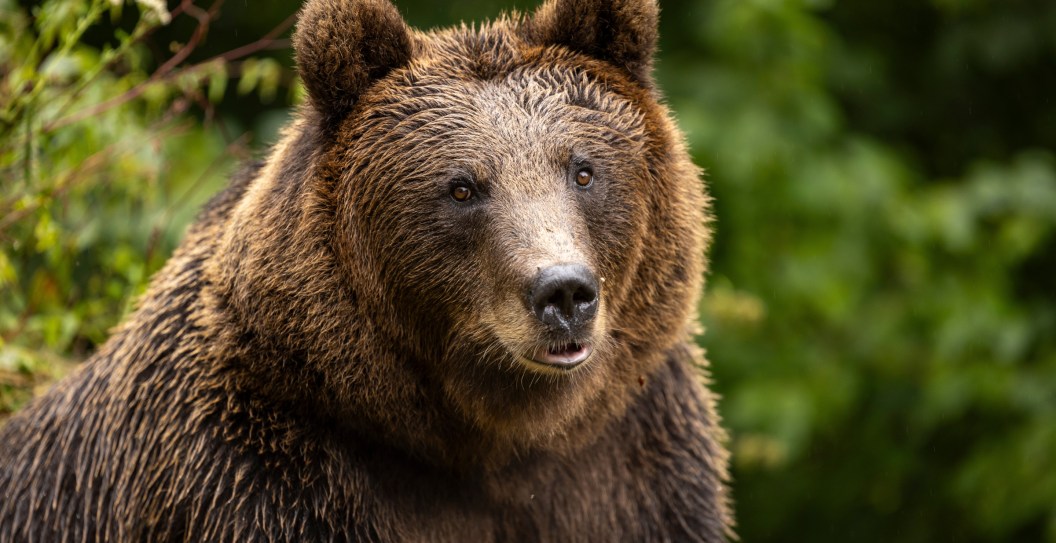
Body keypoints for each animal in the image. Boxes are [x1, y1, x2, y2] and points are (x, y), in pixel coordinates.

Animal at [0, 0, 733, 540]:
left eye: (583, 170)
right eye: (462, 187)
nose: (563, 292)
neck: (490, 443)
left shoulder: (630, 459)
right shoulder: (262, 468)